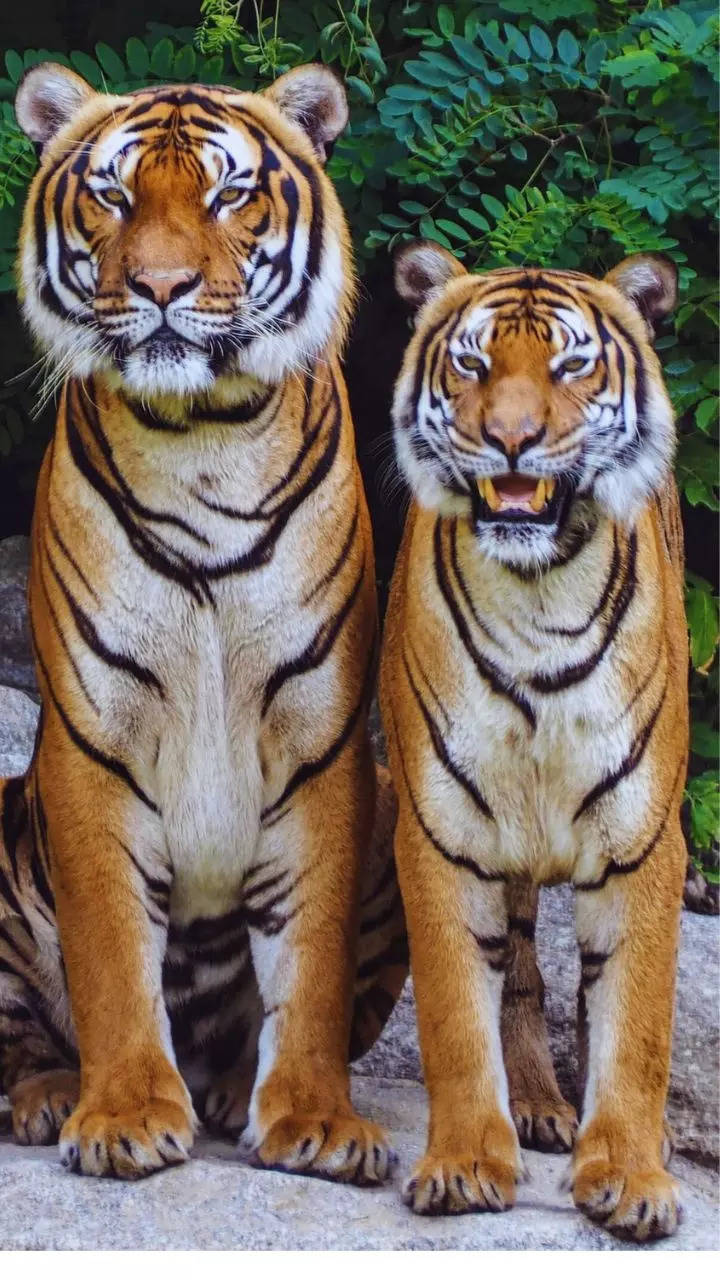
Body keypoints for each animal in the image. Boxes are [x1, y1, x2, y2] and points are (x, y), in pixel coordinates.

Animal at [0, 60, 407, 1182]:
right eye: (113, 194)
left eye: (229, 195)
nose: (161, 288)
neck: (202, 438)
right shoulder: (92, 740)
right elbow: (109, 951)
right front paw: (126, 1113)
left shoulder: (324, 745)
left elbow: (309, 964)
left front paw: (314, 1118)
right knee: (23, 1031)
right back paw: (50, 1093)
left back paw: (229, 1089)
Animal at [379, 239, 689, 1241]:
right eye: (474, 366)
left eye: (570, 366)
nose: (511, 439)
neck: (538, 596)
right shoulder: (440, 833)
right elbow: (453, 1010)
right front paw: (465, 1162)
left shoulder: (645, 845)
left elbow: (635, 1026)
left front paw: (629, 1174)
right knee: (517, 969)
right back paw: (537, 1106)